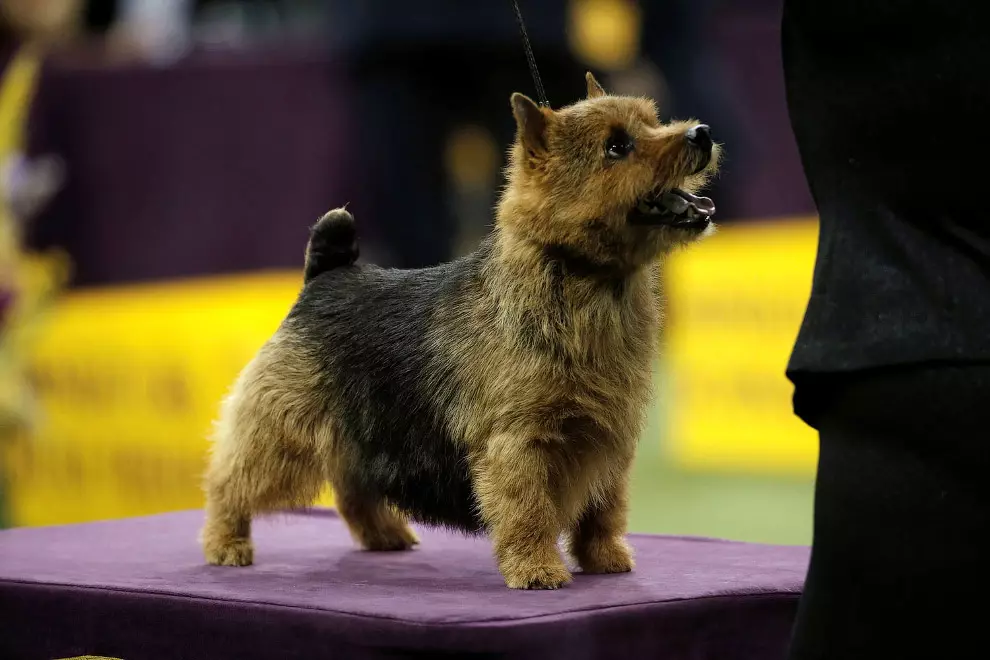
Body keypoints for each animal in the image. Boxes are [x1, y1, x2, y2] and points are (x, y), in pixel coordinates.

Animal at [202, 72, 720, 588]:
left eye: (653, 120)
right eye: (617, 146)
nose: (701, 133)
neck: (584, 281)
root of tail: (324, 276)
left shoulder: (608, 435)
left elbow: (604, 510)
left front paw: (605, 557)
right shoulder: (520, 442)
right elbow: (529, 509)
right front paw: (537, 568)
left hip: (362, 433)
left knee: (351, 490)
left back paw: (385, 534)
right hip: (280, 432)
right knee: (230, 481)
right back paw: (226, 543)